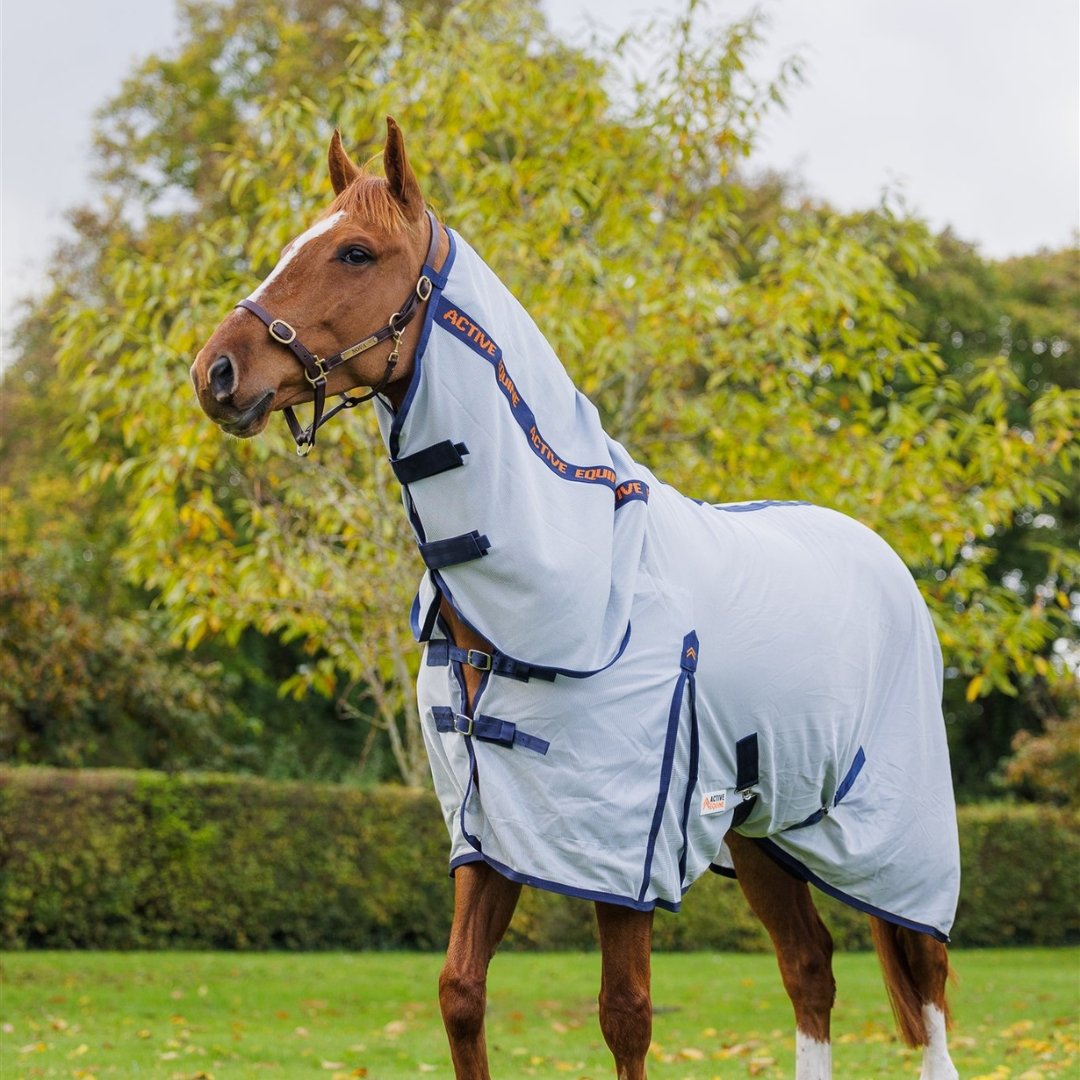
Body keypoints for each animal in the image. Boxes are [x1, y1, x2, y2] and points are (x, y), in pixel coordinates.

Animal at [191, 118, 961, 1080]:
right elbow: (459, 994)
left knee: (926, 983)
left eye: (355, 251)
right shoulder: (491, 831)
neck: (579, 586)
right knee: (809, 969)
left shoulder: (617, 847)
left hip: (895, 836)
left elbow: (624, 1014)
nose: (215, 372)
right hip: (765, 831)